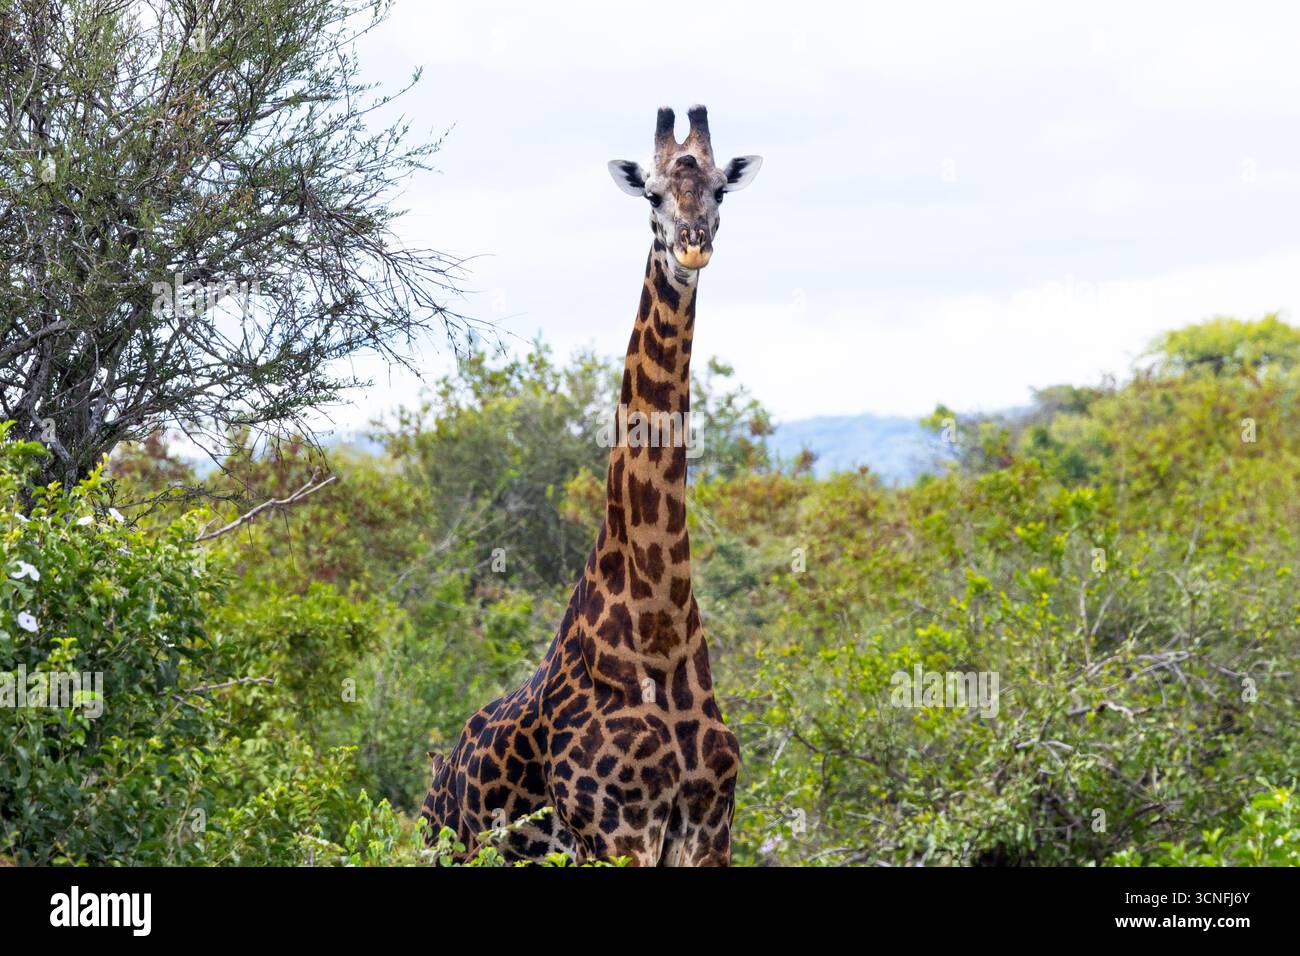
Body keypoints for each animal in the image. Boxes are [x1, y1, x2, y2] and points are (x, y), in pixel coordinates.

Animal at [420, 105, 762, 866]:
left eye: (721, 191)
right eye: (653, 195)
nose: (693, 246)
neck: (660, 626)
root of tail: (438, 778)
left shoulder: (709, 828)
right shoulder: (614, 832)